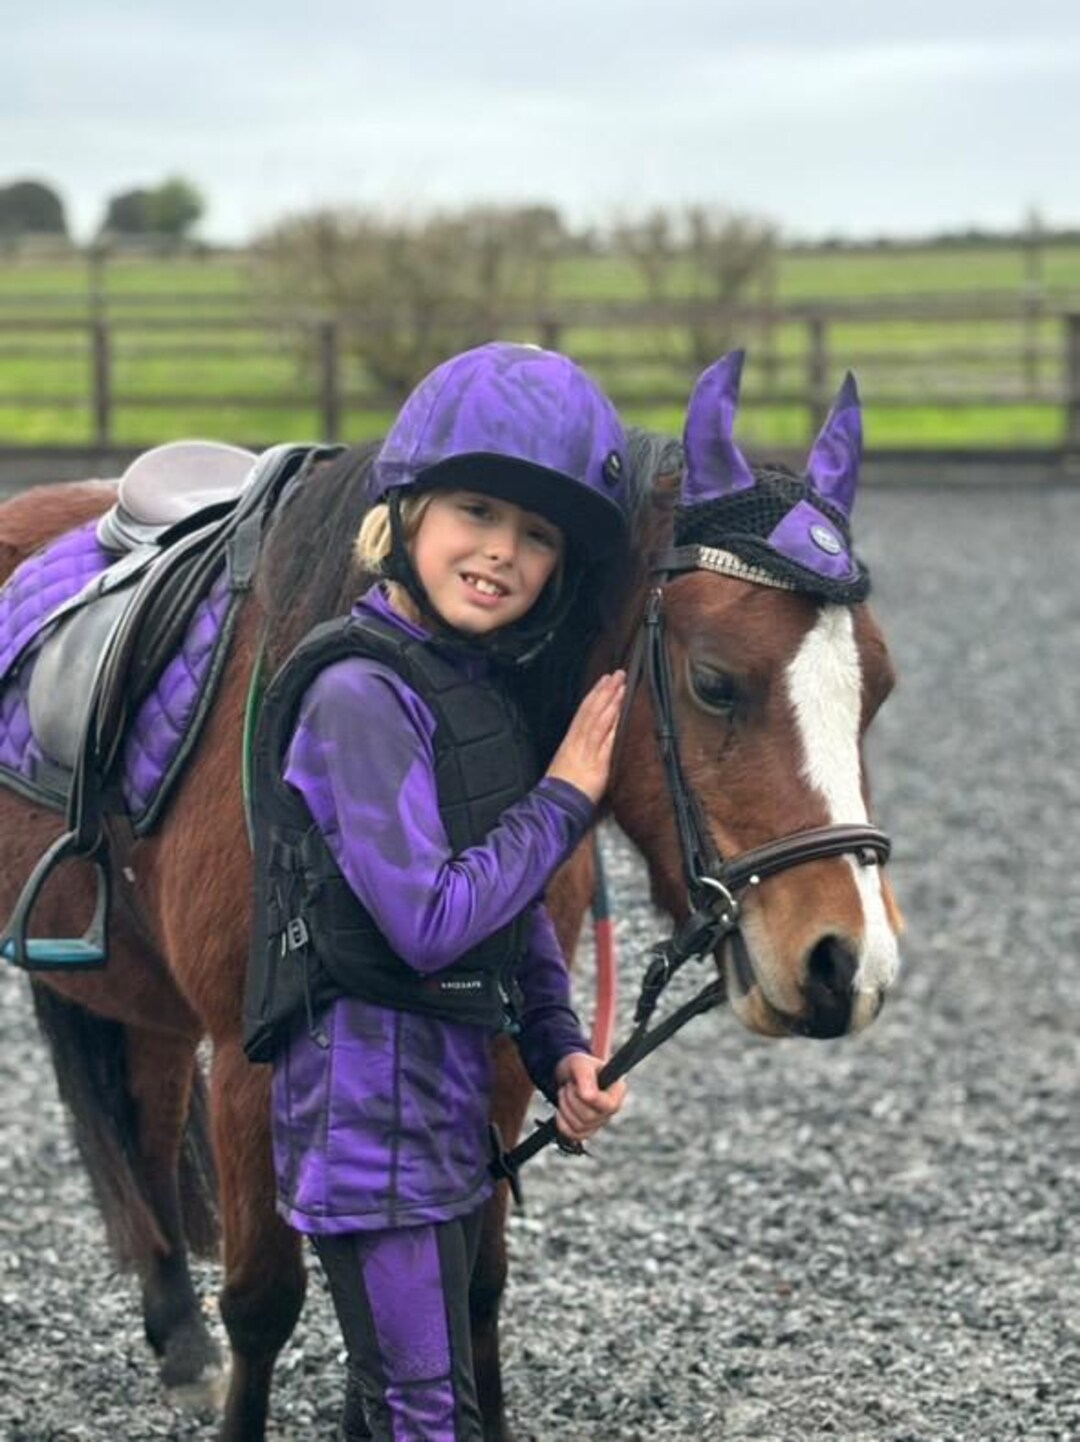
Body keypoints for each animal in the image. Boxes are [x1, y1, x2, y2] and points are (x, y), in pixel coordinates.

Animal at [0, 362, 902, 1441]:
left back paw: (178, 1336)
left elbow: (473, 1284)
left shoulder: (504, 1056)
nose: (848, 961)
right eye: (716, 683)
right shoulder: (254, 1065)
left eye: (880, 690)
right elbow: (266, 1299)